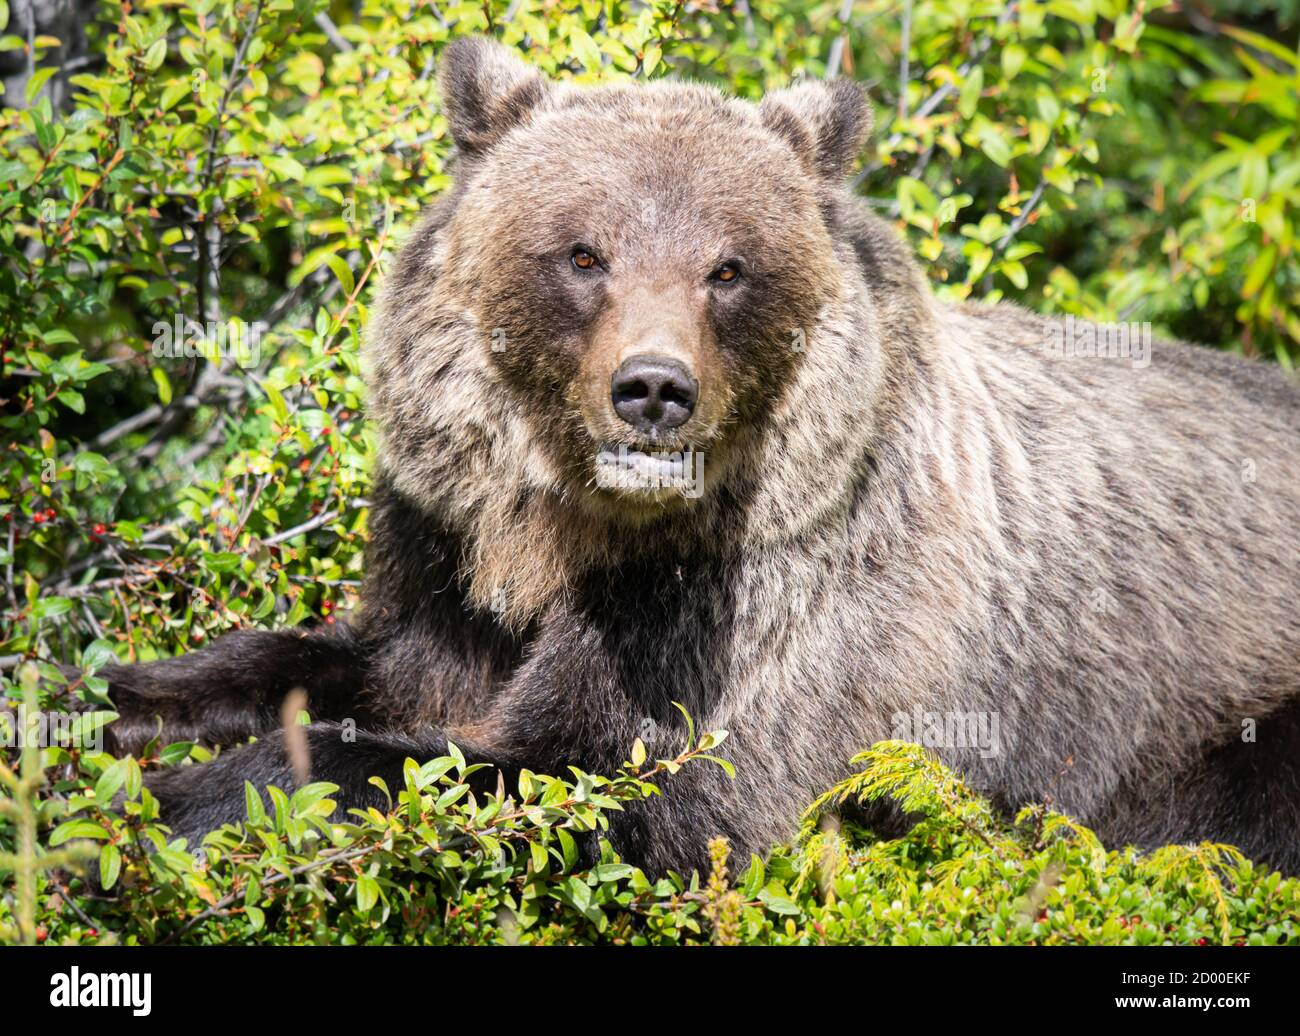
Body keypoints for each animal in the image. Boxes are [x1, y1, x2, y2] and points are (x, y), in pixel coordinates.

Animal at [96, 36, 1300, 877]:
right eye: (583, 253)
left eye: (729, 267)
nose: (653, 390)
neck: (571, 535)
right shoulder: (450, 559)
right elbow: (356, 663)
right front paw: (129, 697)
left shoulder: (766, 610)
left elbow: (596, 781)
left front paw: (180, 800)